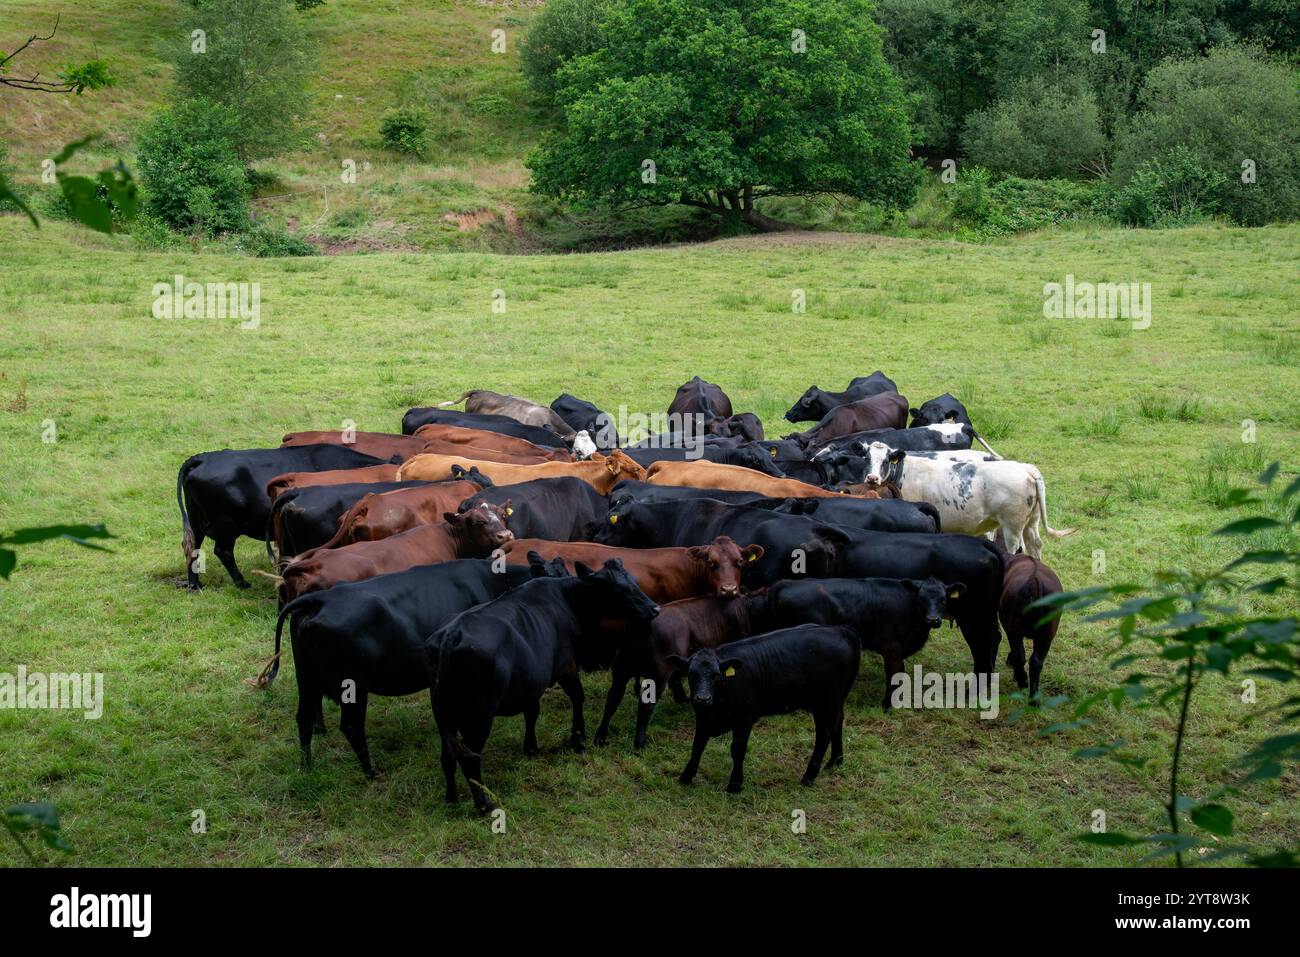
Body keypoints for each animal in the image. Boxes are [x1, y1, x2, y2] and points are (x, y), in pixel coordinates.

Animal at [262, 558, 545, 778]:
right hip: (352, 684)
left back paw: (306, 766)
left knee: (304, 718)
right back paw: (370, 772)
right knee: (351, 726)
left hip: (306, 676)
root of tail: (318, 598)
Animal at [430, 557, 661, 813]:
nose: (655, 608)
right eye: (619, 589)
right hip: (480, 713)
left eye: (634, 581)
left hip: (444, 715)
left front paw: (531, 748)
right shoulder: (565, 664)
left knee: (447, 756)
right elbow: (577, 695)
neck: (567, 599)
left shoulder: (530, 684)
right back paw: (484, 803)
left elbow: (532, 712)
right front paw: (578, 738)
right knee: (469, 756)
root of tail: (452, 634)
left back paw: (451, 797)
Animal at [668, 625, 861, 793]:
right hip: (835, 703)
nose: (703, 698)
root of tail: (838, 629)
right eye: (691, 674)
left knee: (823, 736)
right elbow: (697, 746)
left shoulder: (744, 720)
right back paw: (835, 761)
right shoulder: (703, 718)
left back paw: (809, 776)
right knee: (838, 723)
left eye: (716, 675)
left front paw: (735, 785)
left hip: (824, 704)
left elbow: (737, 750)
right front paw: (686, 776)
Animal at [744, 577, 962, 708]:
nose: (933, 619)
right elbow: (895, 671)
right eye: (921, 598)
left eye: (944, 599)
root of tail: (785, 584)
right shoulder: (890, 645)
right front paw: (887, 703)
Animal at [859, 442, 1075, 558]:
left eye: (886, 460)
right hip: (1031, 522)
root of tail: (1024, 468)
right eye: (866, 458)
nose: (872, 478)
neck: (903, 472)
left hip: (1012, 526)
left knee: (1016, 549)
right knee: (1035, 545)